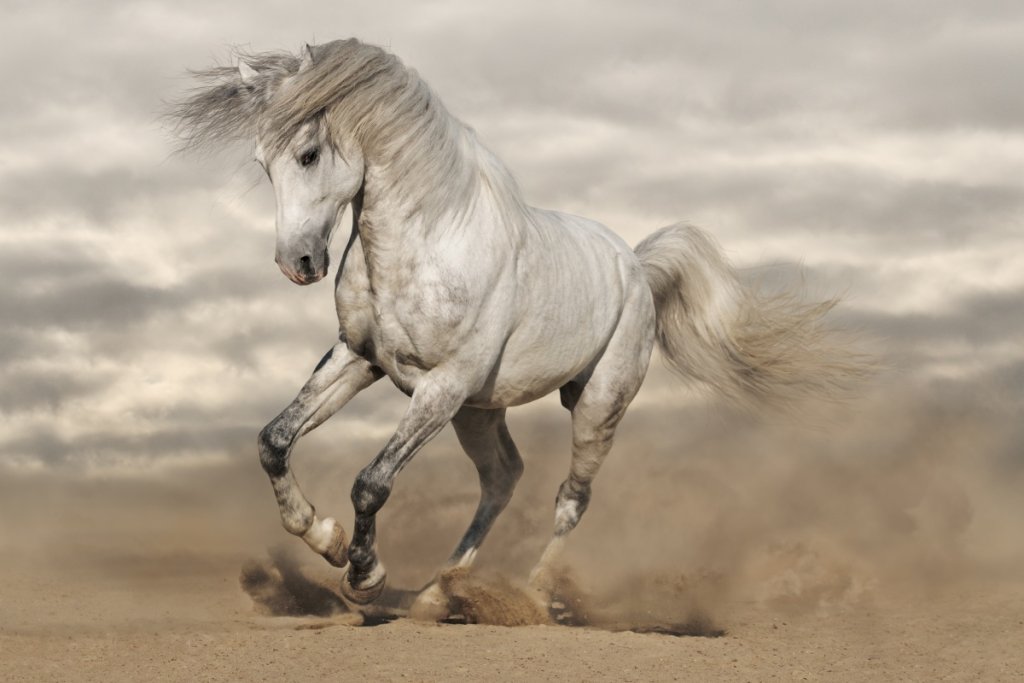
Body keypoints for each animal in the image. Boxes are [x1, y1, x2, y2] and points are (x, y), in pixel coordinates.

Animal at [171, 39, 865, 620]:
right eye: (262, 162)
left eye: (309, 153)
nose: (298, 264)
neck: (425, 244)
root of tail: (637, 268)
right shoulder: (360, 361)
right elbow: (274, 440)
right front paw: (325, 537)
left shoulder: (441, 387)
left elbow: (371, 482)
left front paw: (363, 574)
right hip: (480, 413)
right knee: (503, 478)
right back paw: (438, 595)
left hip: (594, 406)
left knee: (570, 498)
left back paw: (531, 596)